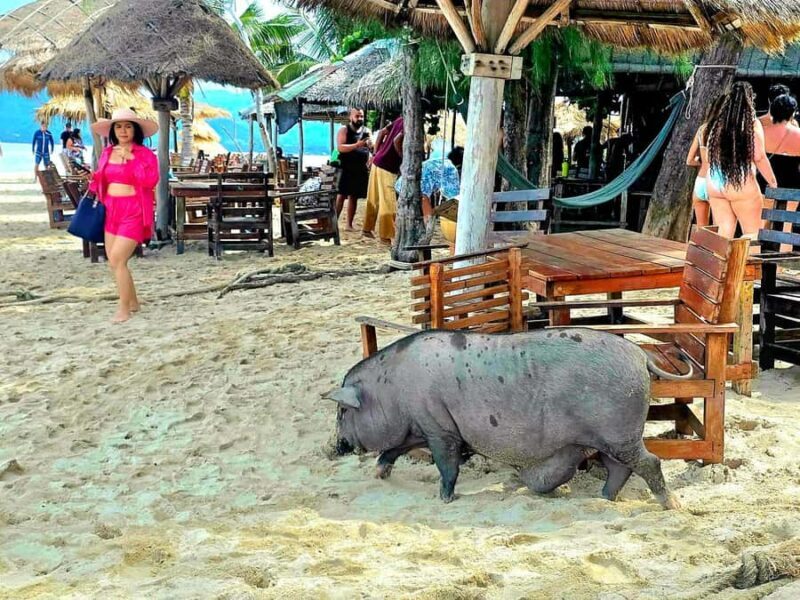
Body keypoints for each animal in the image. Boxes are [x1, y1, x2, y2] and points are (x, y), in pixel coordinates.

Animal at [324, 329, 685, 510]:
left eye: (343, 411)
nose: (331, 448)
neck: (393, 389)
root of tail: (640, 355)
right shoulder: (419, 426)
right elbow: (393, 450)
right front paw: (378, 474)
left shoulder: (439, 428)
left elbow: (446, 464)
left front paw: (445, 499)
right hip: (608, 438)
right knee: (620, 467)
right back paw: (603, 499)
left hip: (618, 432)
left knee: (649, 462)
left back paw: (671, 506)